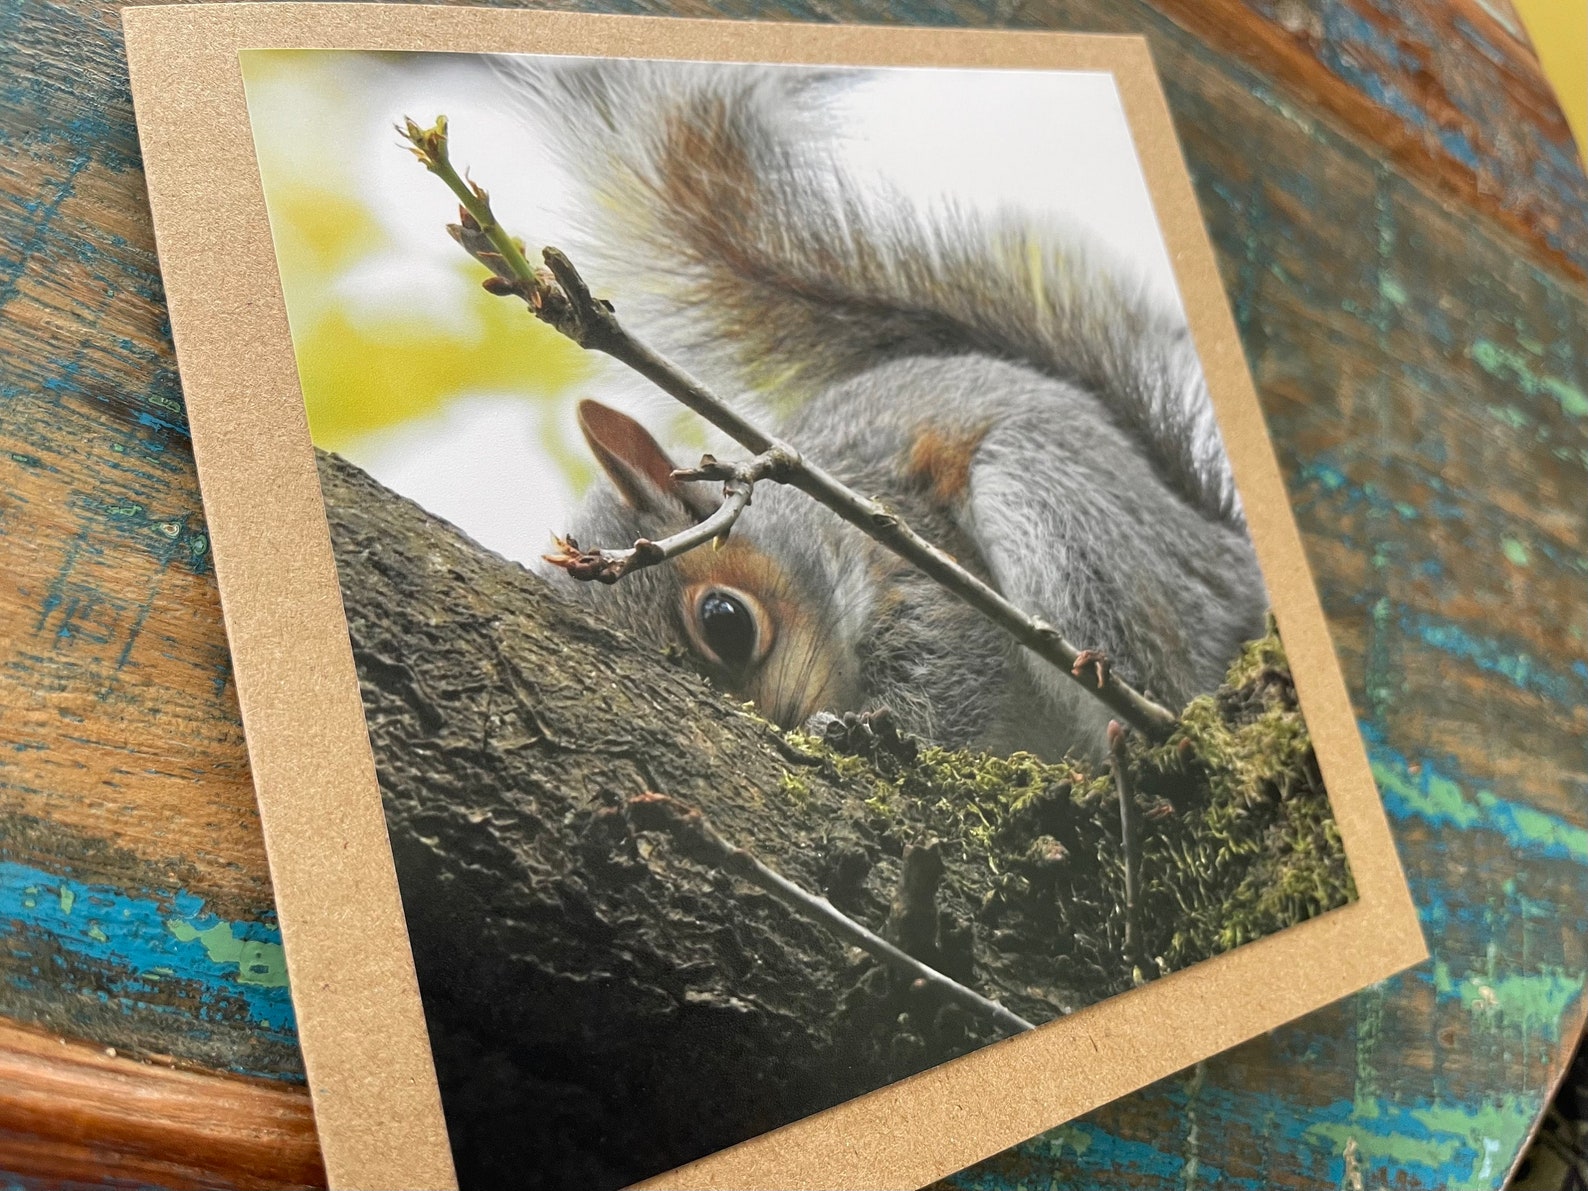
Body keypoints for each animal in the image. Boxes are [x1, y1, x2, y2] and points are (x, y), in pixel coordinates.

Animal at [502, 58, 1270, 762]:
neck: (817, 531)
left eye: (725, 622)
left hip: (1065, 515)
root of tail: (1233, 566)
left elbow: (952, 677)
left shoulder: (917, 571)